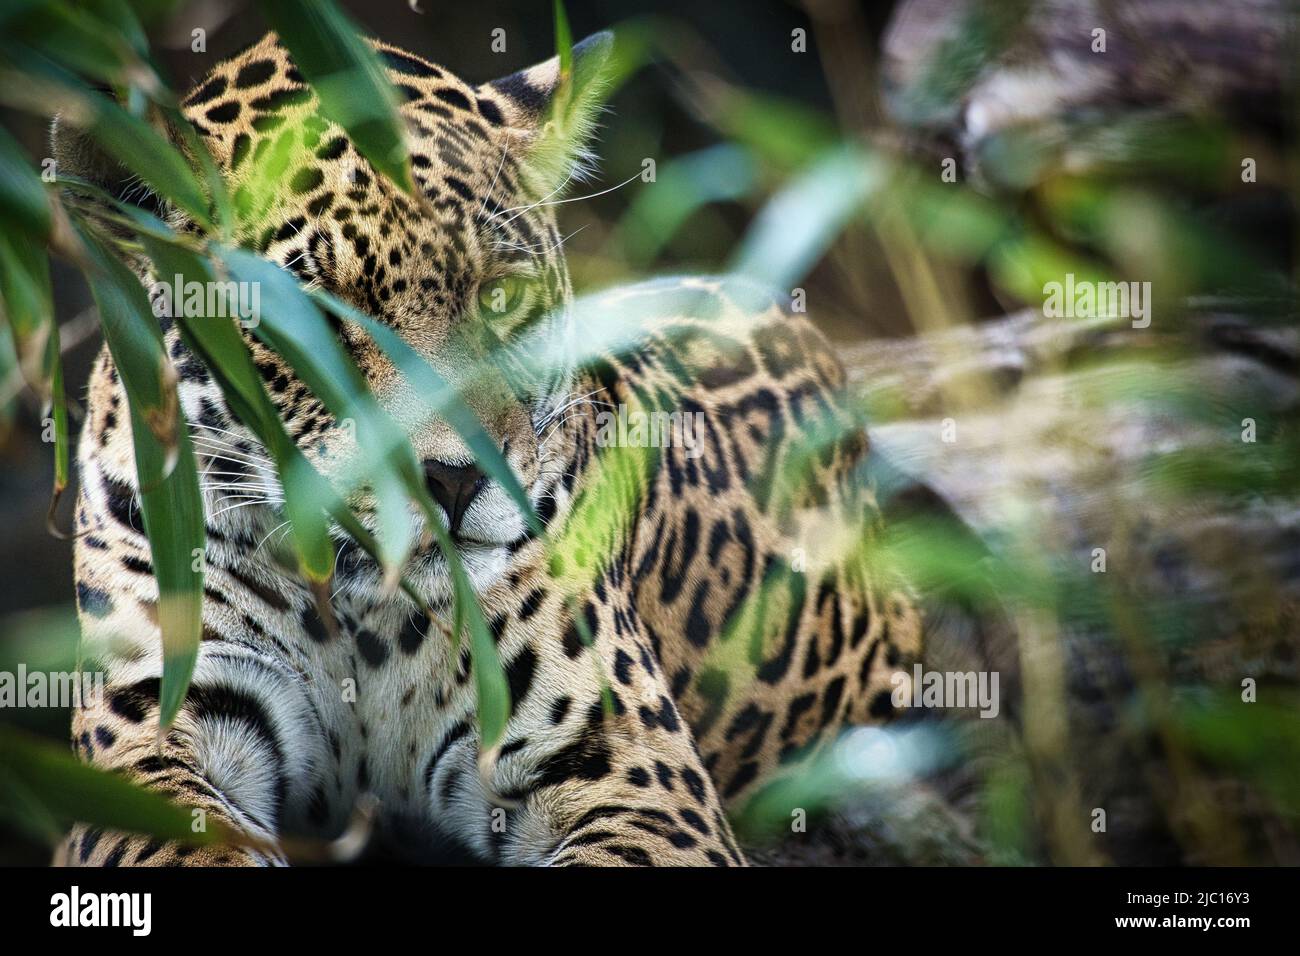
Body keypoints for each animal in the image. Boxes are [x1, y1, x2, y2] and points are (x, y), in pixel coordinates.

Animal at [55, 29, 938, 867]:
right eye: (308, 321)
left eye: (502, 297)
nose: (454, 479)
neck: (364, 621)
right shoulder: (158, 724)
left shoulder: (631, 773)